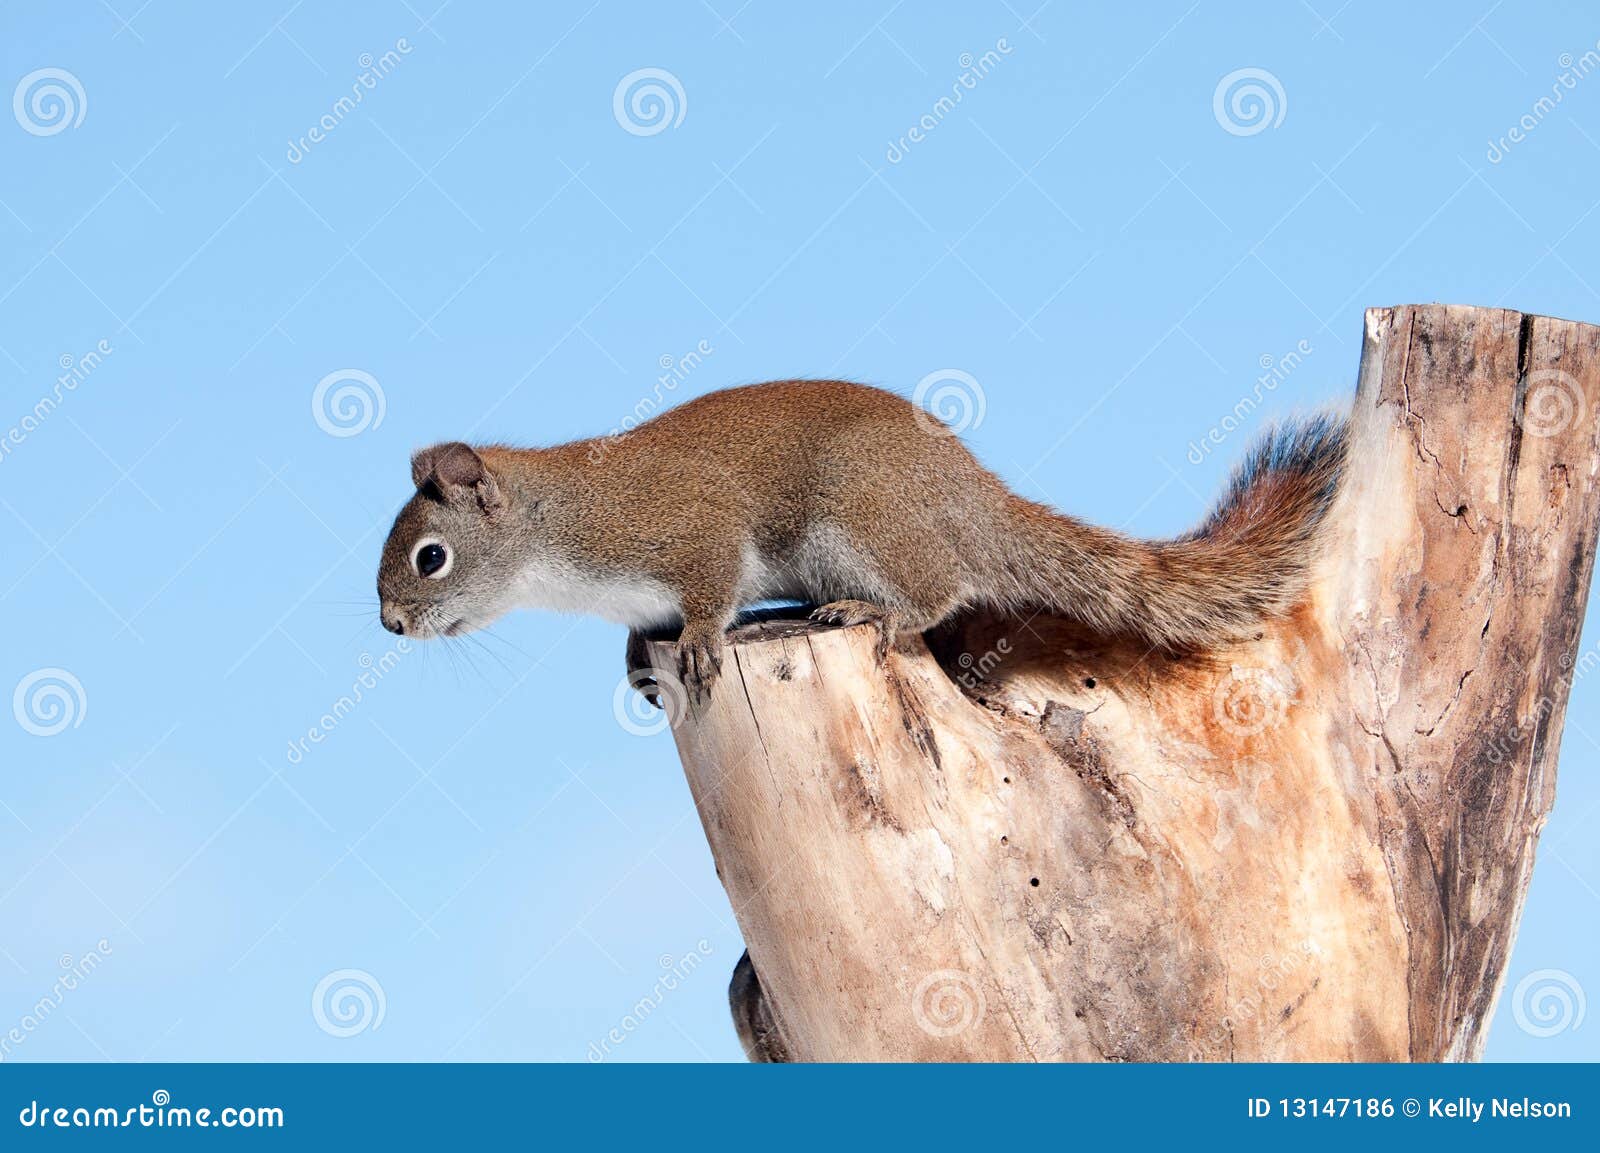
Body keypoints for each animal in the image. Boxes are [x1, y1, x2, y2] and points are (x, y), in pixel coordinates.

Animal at [376, 379, 1347, 704]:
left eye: (431, 556)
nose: (390, 623)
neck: (554, 525)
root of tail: (973, 499)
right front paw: (634, 661)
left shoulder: (690, 529)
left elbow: (709, 588)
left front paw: (698, 640)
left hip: (864, 516)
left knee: (940, 591)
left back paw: (871, 611)